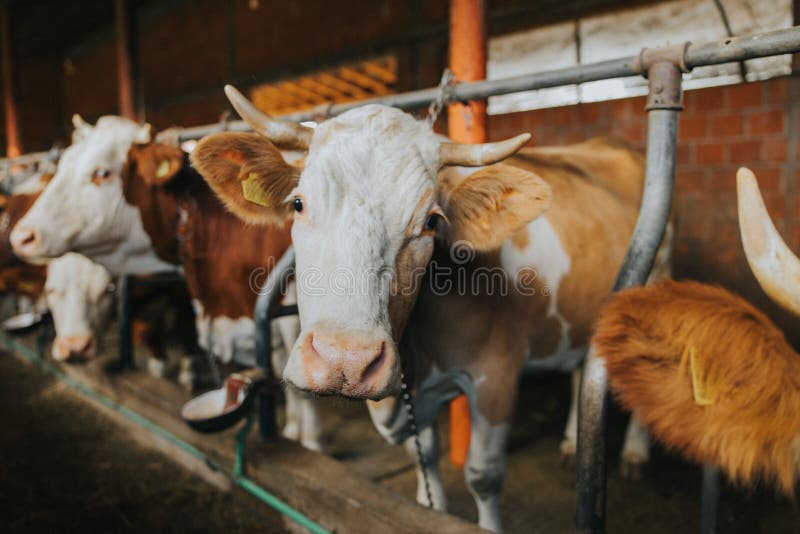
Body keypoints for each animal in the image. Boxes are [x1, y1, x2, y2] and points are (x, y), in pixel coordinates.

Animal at [9, 115, 322, 451]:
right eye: (64, 165)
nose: (22, 236)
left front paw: (310, 443)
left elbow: (302, 386)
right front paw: (291, 430)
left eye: (102, 173)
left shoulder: (288, 311)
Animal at [189, 86, 671, 532]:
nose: (346, 361)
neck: (418, 353)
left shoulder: (496, 375)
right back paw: (573, 441)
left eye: (431, 222)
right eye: (298, 203)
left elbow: (483, 475)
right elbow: (428, 465)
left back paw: (634, 453)